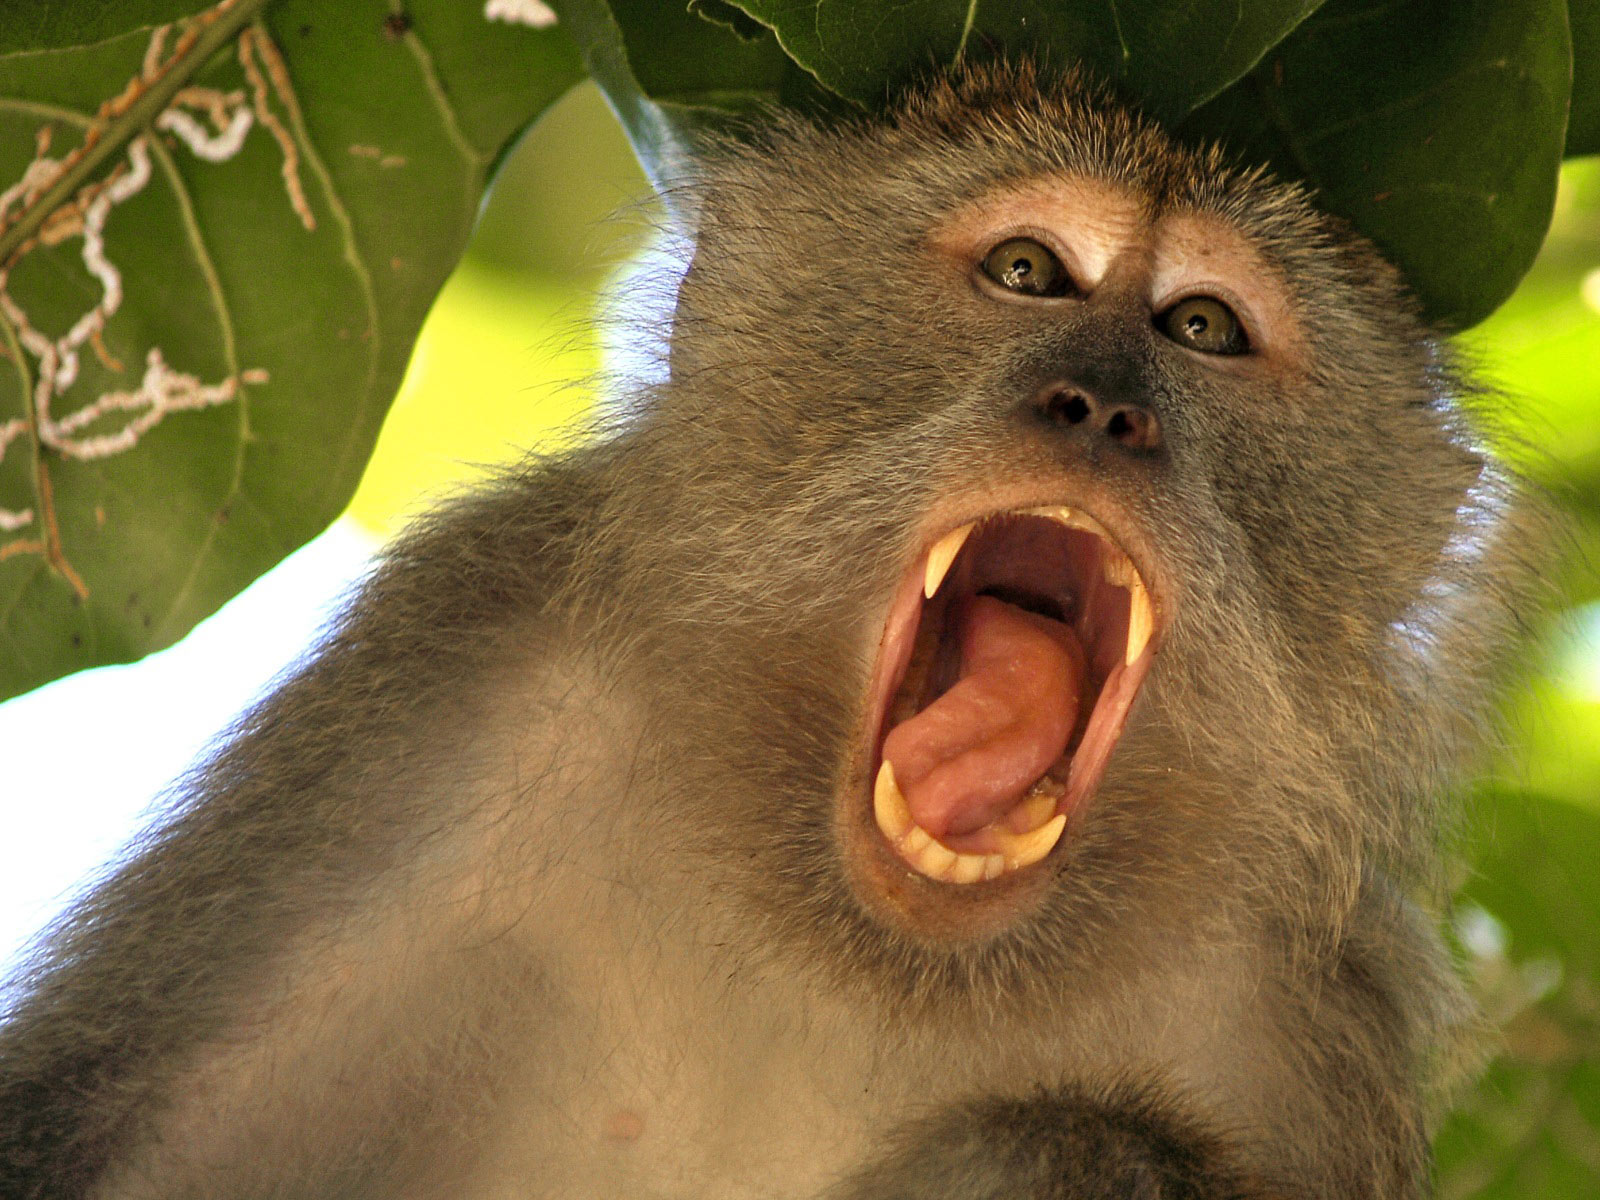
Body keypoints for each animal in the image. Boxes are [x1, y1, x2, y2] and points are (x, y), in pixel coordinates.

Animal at [0, 61, 1539, 1198]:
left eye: (1204, 328)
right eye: (1030, 270)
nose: (1104, 405)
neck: (867, 951)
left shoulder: (1307, 1020)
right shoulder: (459, 673)